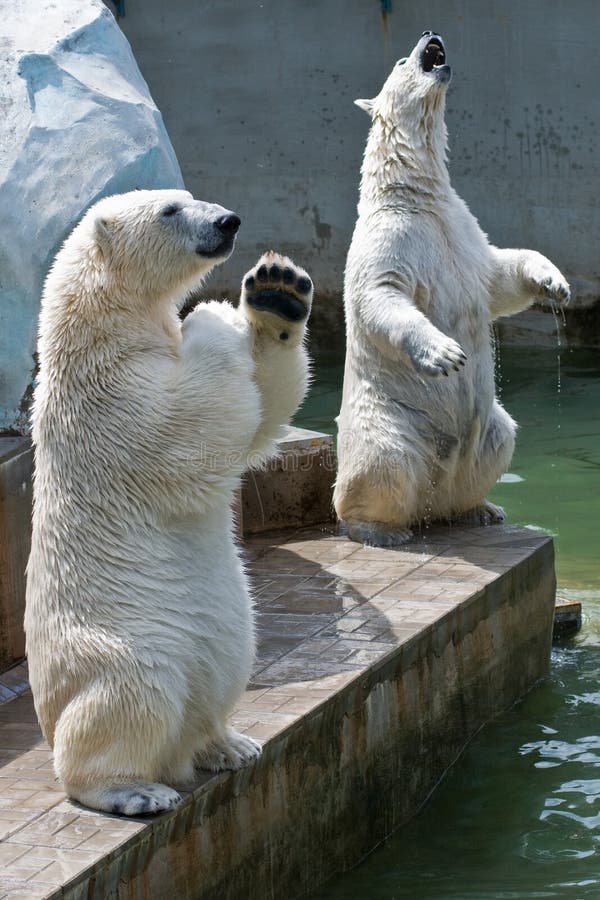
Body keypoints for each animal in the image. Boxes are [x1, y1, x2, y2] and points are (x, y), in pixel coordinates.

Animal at [25, 189, 313, 815]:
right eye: (171, 210)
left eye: (187, 199)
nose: (228, 221)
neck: (98, 328)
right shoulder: (113, 399)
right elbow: (190, 422)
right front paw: (212, 314)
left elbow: (263, 411)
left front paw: (277, 292)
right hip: (120, 644)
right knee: (132, 695)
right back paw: (133, 789)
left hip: (230, 641)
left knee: (226, 665)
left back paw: (229, 744)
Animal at [333, 31, 570, 547]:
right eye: (402, 61)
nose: (429, 33)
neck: (416, 198)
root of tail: (429, 503)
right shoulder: (390, 240)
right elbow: (381, 295)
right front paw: (444, 354)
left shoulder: (460, 230)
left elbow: (498, 277)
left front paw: (554, 283)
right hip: (389, 418)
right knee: (384, 463)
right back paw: (379, 529)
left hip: (484, 435)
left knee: (498, 439)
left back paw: (479, 508)